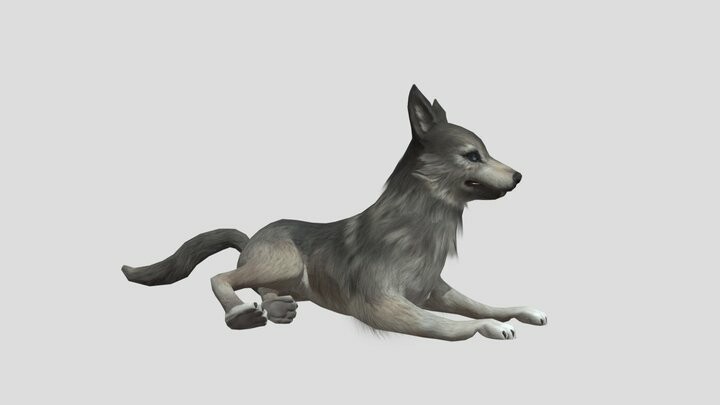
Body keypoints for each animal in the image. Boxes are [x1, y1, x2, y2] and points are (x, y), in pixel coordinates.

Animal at [122, 85, 547, 341]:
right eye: (472, 156)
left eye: (486, 152)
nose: (519, 176)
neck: (417, 227)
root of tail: (253, 236)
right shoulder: (382, 307)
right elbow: (451, 325)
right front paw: (491, 327)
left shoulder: (433, 291)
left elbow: (481, 303)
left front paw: (520, 311)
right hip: (284, 262)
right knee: (221, 277)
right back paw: (241, 314)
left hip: (287, 274)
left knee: (259, 287)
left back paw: (277, 308)